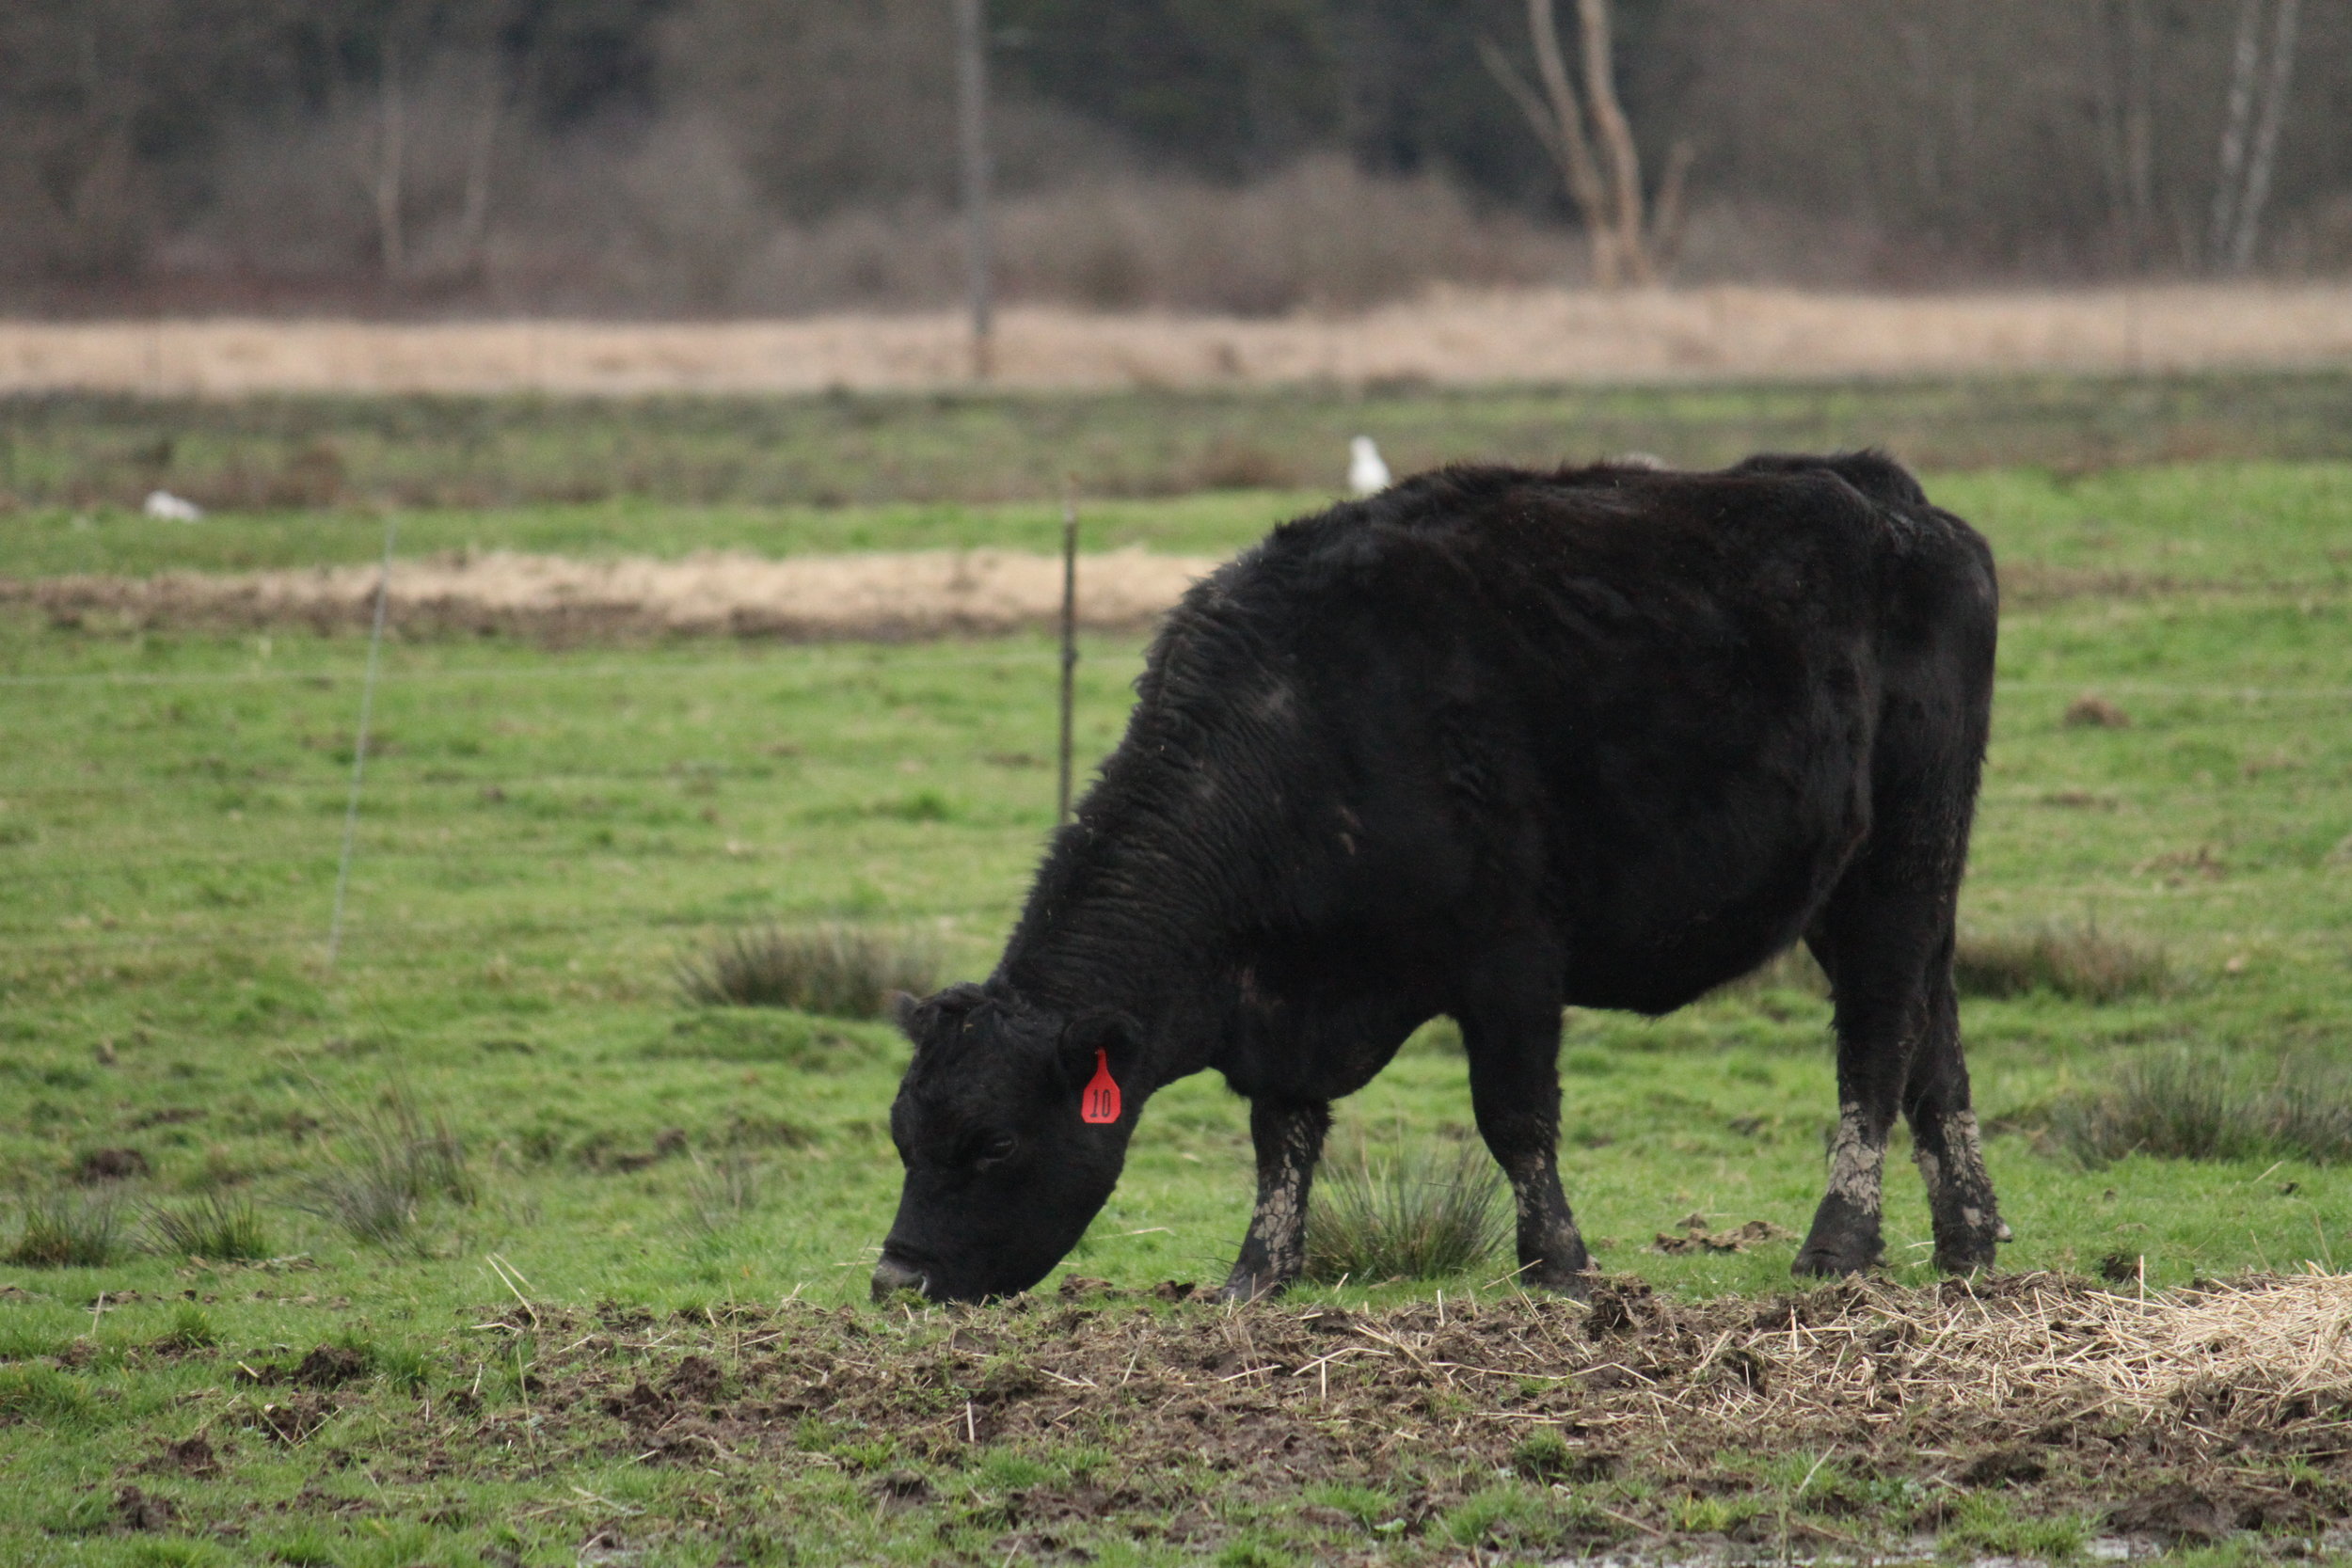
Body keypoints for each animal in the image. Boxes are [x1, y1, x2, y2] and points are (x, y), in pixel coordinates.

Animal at [873, 452, 2002, 1305]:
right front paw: (1255, 1275)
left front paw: (1560, 1265)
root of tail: (1889, 496)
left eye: (995, 1143)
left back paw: (1839, 1244)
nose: (895, 1279)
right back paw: (1969, 1240)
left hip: (1901, 861)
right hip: (1870, 887)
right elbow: (1280, 1134)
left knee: (1875, 1044)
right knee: (1934, 1045)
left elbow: (1514, 1116)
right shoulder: (1286, 1000)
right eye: (903, 1133)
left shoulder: (1511, 954)